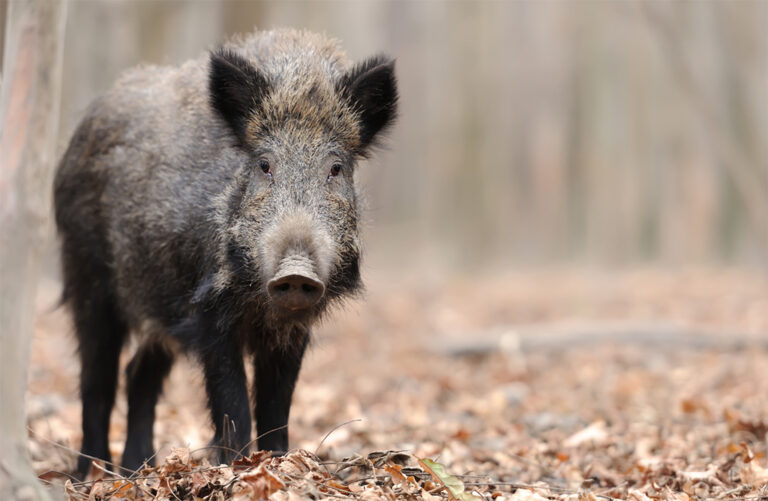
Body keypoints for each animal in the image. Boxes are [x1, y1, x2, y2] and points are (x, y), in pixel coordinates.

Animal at [53, 28, 397, 477]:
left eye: (335, 168)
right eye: (265, 164)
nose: (296, 272)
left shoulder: (292, 329)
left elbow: (276, 405)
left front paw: (278, 465)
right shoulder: (208, 314)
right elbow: (233, 403)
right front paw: (236, 469)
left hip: (157, 305)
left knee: (139, 376)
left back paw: (138, 470)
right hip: (86, 274)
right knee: (97, 379)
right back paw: (90, 474)